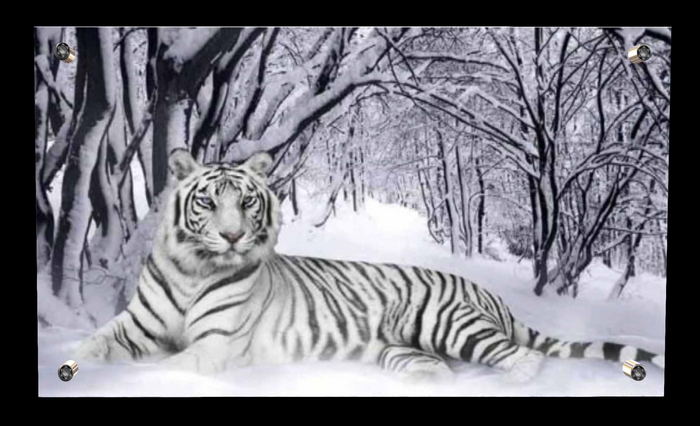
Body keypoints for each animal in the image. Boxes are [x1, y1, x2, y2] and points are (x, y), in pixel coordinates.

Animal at [75, 149, 665, 383]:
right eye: (208, 201)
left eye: (246, 202)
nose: (233, 235)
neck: (193, 269)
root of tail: (487, 292)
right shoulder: (135, 325)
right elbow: (92, 344)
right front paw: (77, 369)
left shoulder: (216, 344)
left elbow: (166, 365)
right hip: (402, 349)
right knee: (441, 369)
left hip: (450, 324)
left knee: (524, 356)